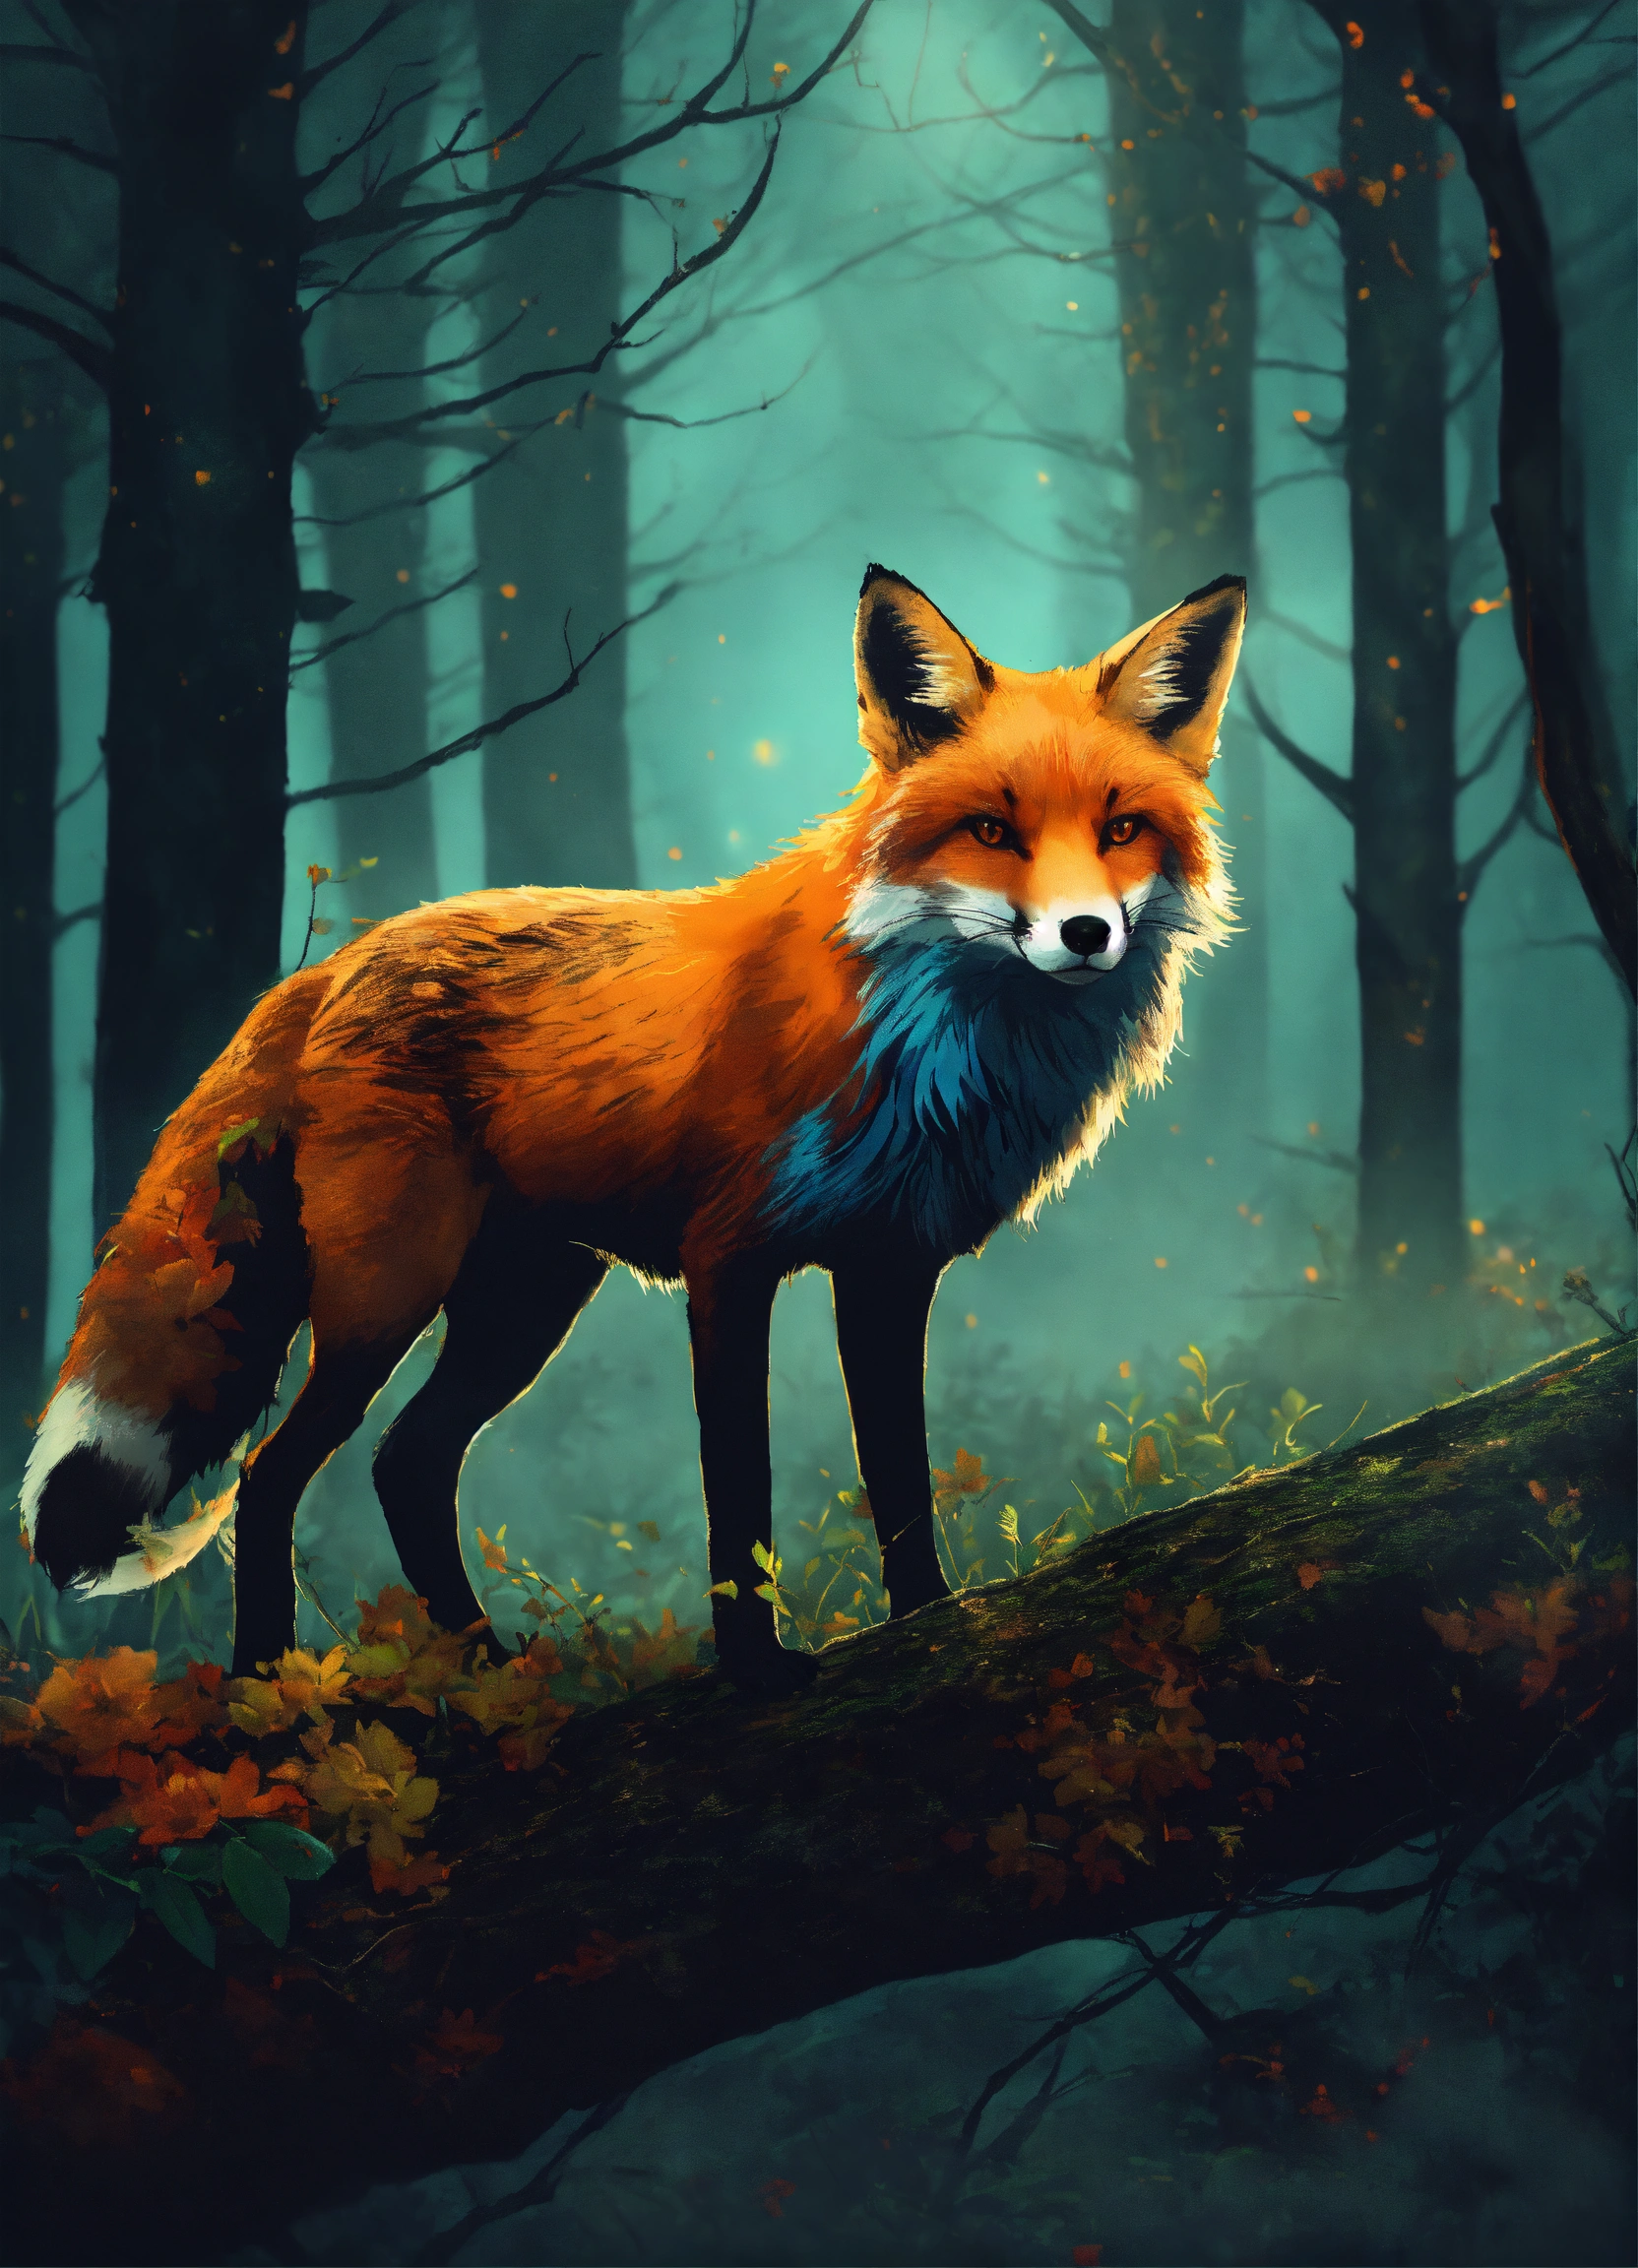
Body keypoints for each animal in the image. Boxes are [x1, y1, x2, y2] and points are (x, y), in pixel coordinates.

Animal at [21, 564, 1244, 1693]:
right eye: (991, 829)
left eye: (1121, 829)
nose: (1083, 934)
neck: (921, 1048)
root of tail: (334, 961)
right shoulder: (728, 1262)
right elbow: (738, 1490)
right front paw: (754, 1669)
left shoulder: (889, 1267)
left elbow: (898, 1477)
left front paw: (923, 1629)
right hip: (386, 1296)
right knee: (272, 1476)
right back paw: (265, 1685)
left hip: (523, 1304)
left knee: (405, 1464)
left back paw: (491, 1673)